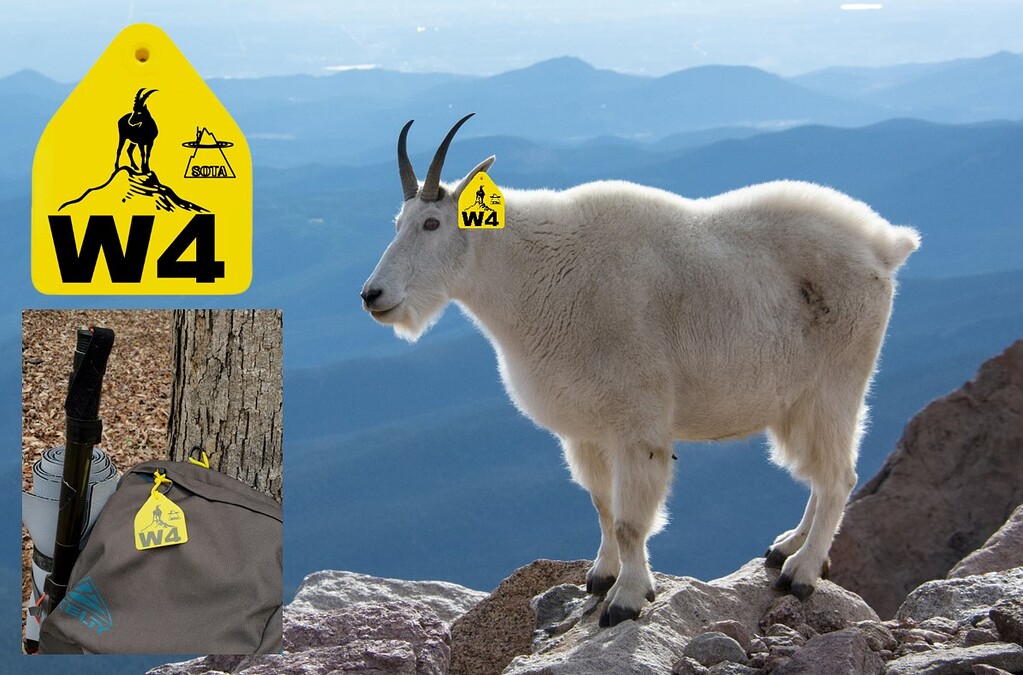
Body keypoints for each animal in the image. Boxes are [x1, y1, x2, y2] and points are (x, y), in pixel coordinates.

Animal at [361, 114, 920, 627]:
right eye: (396, 224)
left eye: (432, 224)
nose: (373, 296)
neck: (537, 276)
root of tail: (884, 247)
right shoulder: (586, 430)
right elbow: (603, 506)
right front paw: (601, 577)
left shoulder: (638, 426)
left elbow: (632, 521)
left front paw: (626, 600)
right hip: (797, 401)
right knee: (821, 476)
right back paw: (787, 547)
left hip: (837, 385)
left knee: (839, 476)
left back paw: (800, 573)